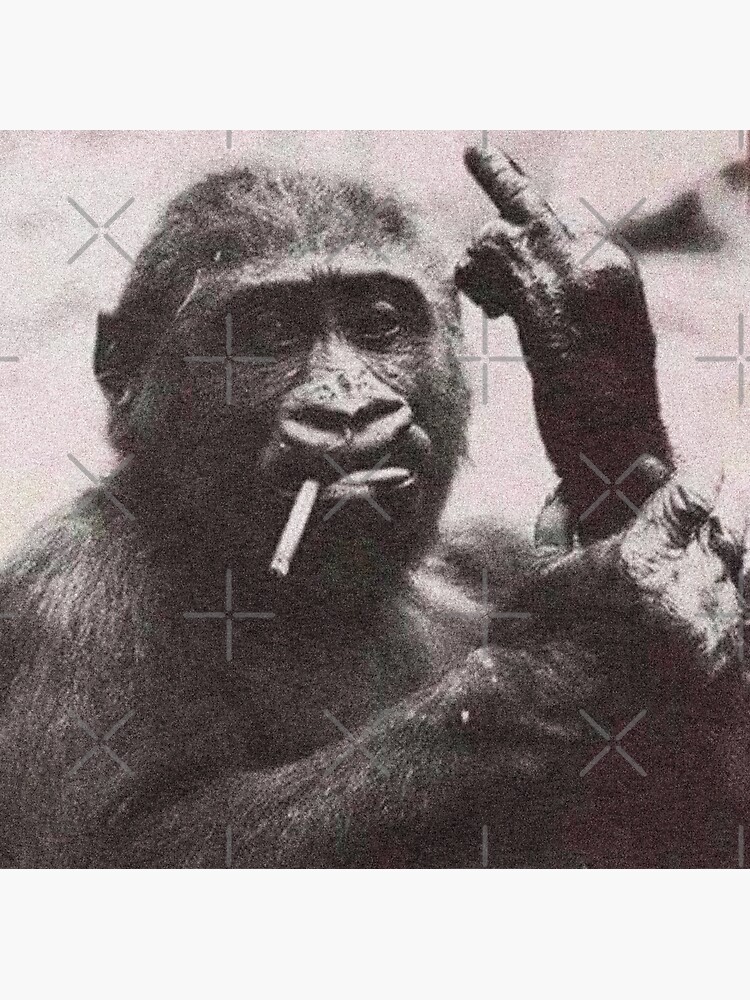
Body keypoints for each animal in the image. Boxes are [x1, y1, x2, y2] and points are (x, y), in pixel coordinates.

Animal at [0, 146, 746, 868]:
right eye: (271, 332)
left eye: (378, 324)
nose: (348, 410)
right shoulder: (73, 595)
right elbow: (114, 842)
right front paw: (583, 645)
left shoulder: (489, 548)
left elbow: (701, 831)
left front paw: (583, 336)